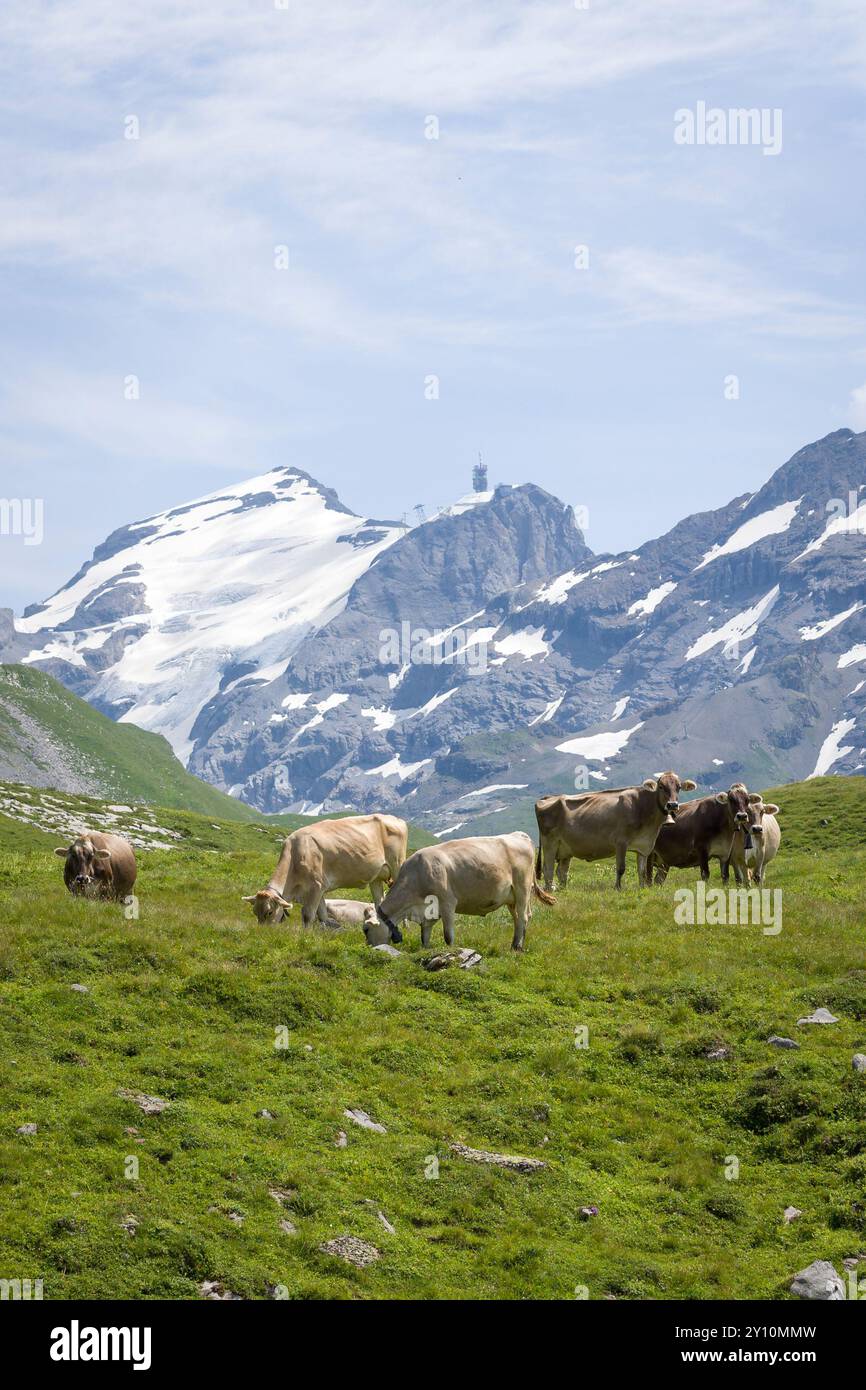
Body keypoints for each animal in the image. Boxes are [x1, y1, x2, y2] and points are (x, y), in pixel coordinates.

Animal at [242, 813, 408, 927]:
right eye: (255, 912)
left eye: (269, 912)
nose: (264, 932)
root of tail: (396, 819)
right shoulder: (320, 889)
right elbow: (322, 916)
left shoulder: (316, 886)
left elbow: (308, 915)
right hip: (376, 877)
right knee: (379, 901)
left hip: (398, 864)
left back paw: (405, 928)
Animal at [373, 831, 556, 951]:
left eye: (367, 930)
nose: (370, 948)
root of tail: (520, 835)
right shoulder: (429, 911)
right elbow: (424, 932)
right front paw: (425, 949)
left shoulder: (447, 902)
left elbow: (448, 935)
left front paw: (452, 952)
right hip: (511, 897)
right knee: (519, 918)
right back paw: (515, 944)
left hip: (522, 888)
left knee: (523, 917)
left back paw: (517, 947)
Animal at [535, 772, 697, 890]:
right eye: (661, 786)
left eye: (678, 787)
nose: (672, 805)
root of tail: (546, 798)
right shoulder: (621, 842)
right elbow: (621, 868)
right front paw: (618, 888)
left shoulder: (644, 846)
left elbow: (642, 870)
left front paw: (642, 888)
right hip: (550, 843)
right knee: (548, 869)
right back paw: (549, 890)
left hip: (565, 849)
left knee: (561, 871)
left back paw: (563, 889)